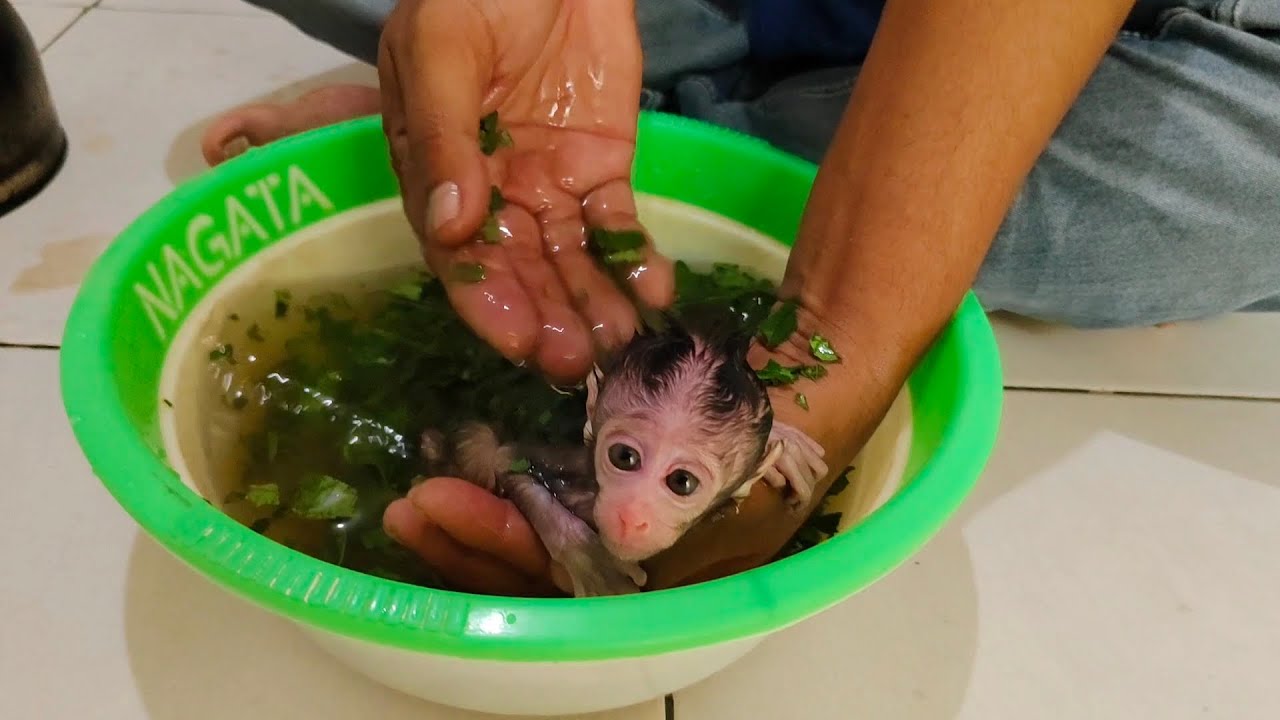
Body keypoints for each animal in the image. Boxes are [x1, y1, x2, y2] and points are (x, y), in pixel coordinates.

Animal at [418, 314, 829, 598]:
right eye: (624, 457)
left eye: (682, 482)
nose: (632, 517)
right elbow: (500, 457)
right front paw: (585, 553)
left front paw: (783, 442)